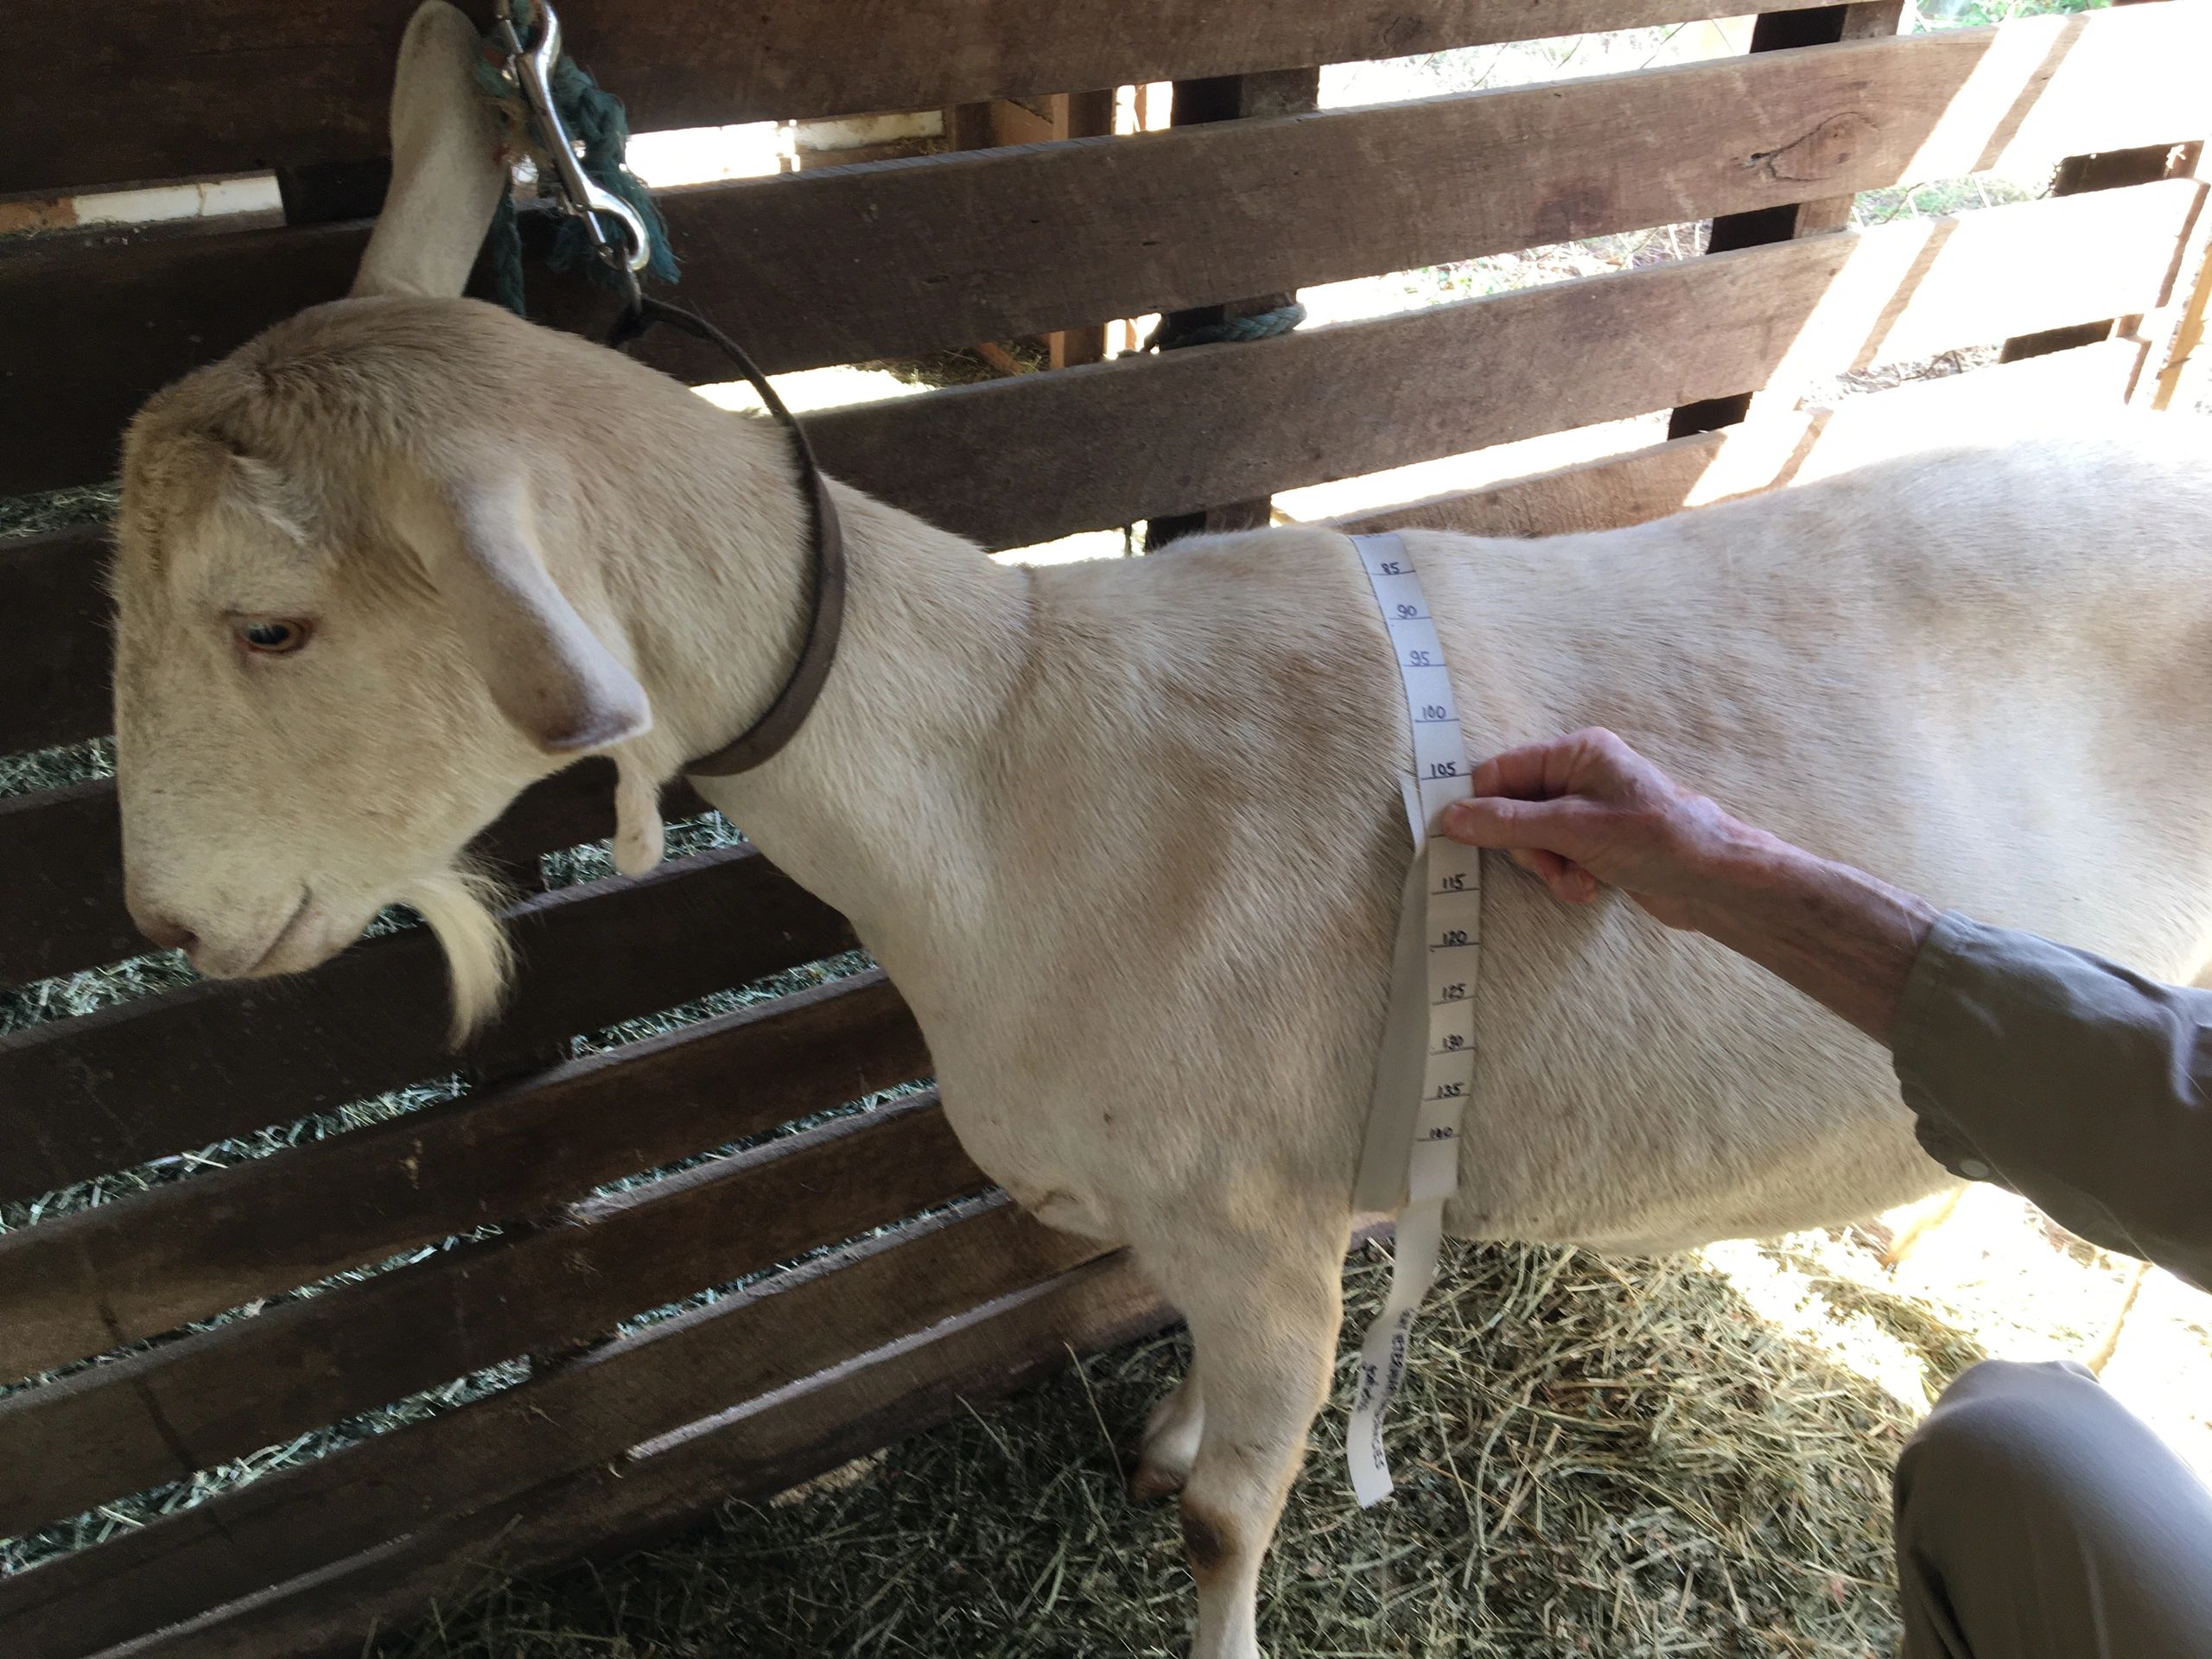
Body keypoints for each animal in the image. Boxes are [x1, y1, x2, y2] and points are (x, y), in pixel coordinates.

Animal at [108, 9, 2212, 1654]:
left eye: (270, 625)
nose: (168, 927)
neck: (1007, 761)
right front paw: (1167, 1437)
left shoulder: (1274, 1230)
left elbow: (1227, 1521)